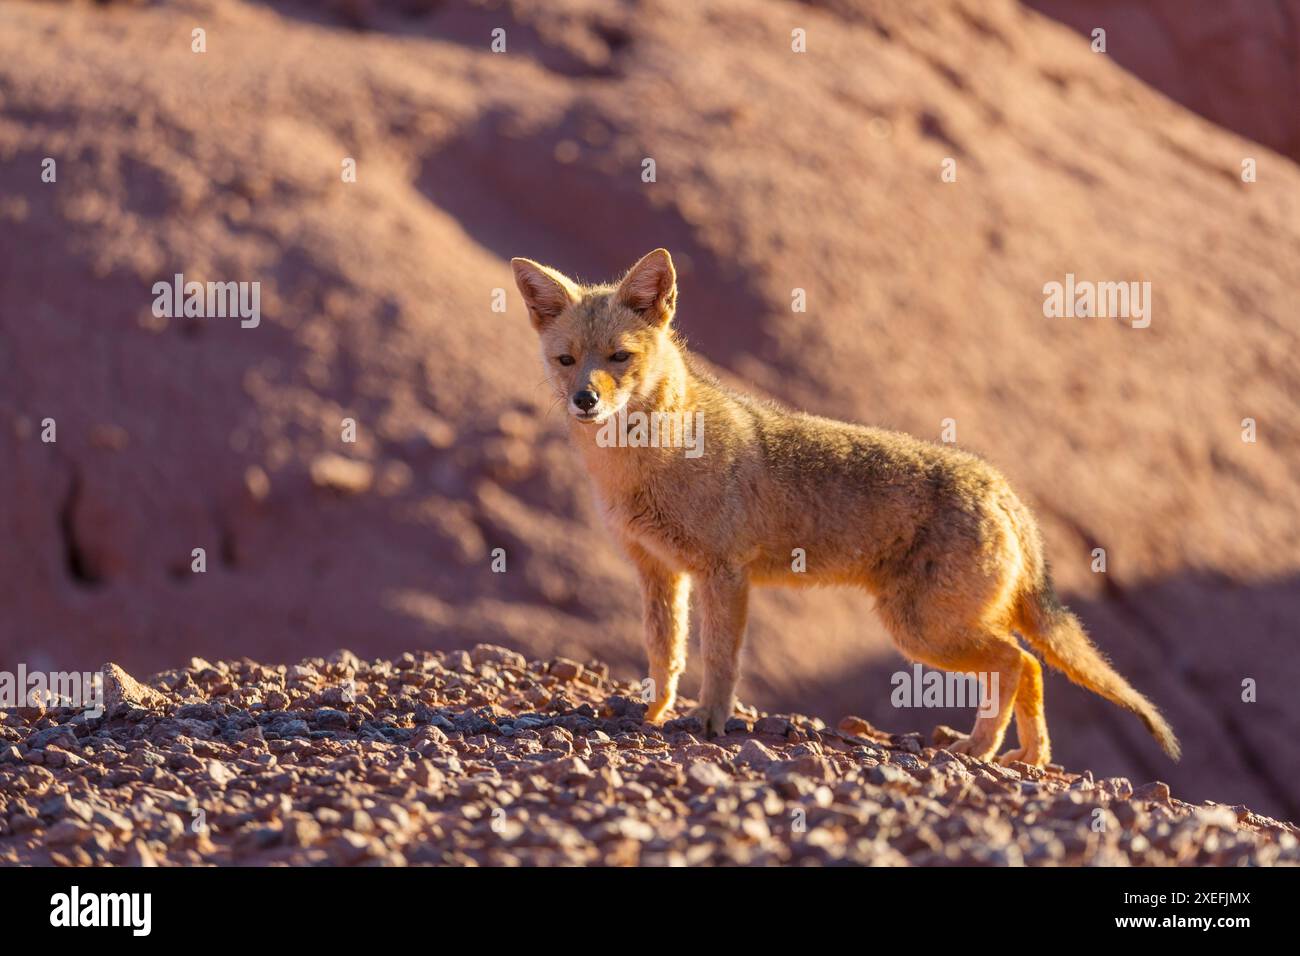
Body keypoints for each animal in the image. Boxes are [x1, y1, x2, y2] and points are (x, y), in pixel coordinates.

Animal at [511, 248, 1180, 767]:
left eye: (619, 357)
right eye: (566, 359)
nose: (585, 400)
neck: (642, 462)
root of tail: (1000, 483)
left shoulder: (724, 573)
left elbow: (719, 658)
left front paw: (710, 723)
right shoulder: (657, 570)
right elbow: (663, 652)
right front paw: (653, 713)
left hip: (922, 629)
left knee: (1018, 663)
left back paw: (982, 749)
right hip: (936, 626)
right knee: (1034, 669)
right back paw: (1031, 756)